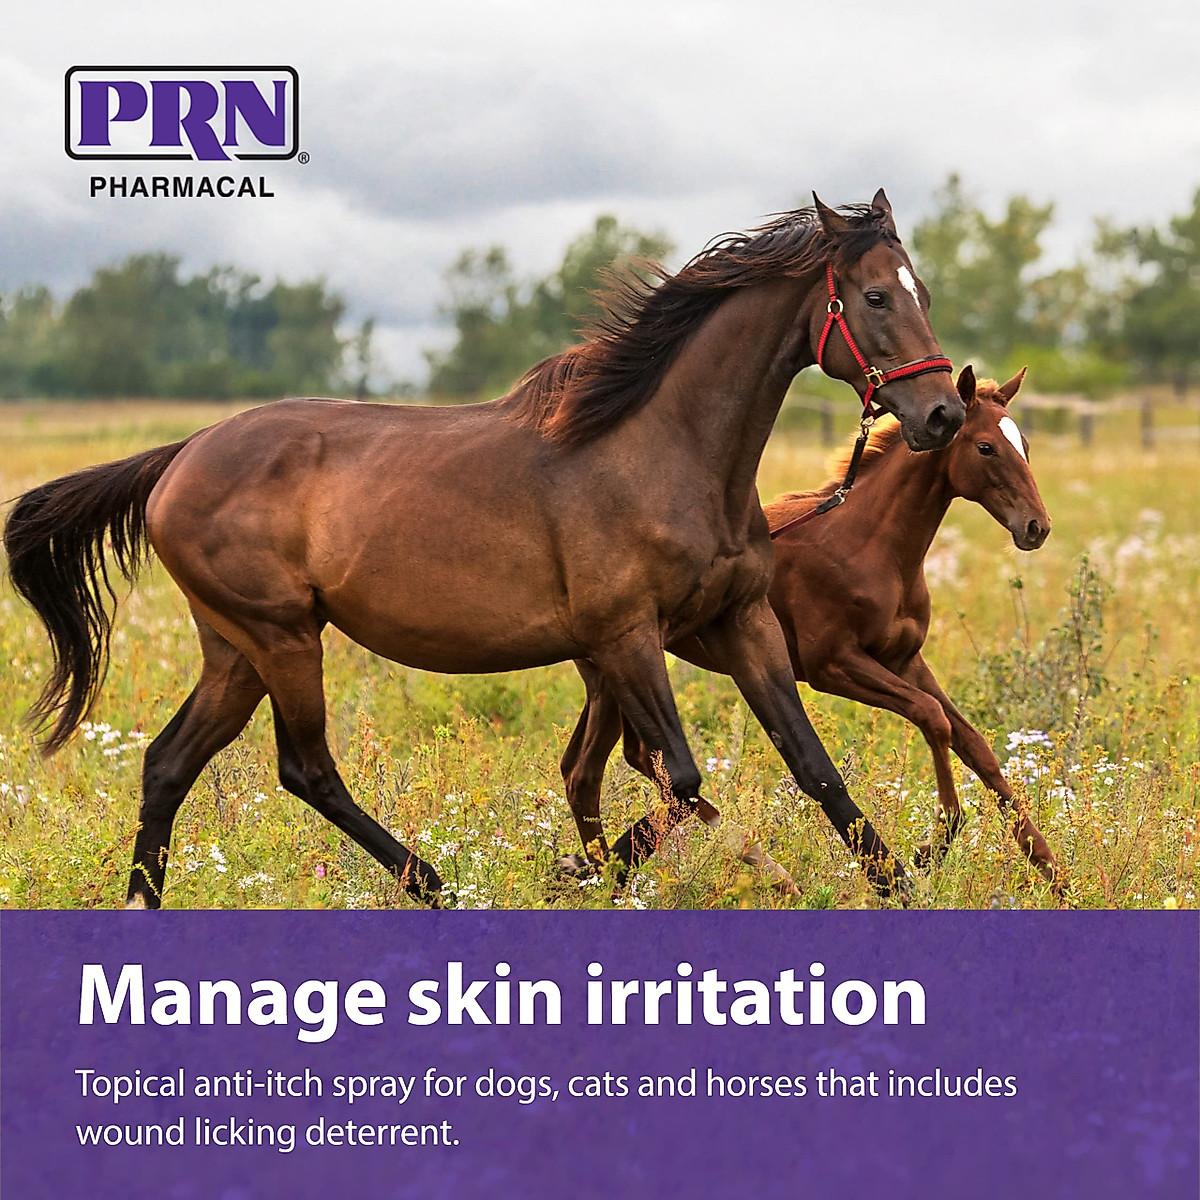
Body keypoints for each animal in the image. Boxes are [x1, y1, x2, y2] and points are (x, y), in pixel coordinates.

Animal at [4, 190, 965, 909]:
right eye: (875, 298)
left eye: (922, 292)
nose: (943, 415)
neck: (667, 453)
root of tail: (179, 457)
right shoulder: (625, 636)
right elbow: (683, 779)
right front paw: (580, 872)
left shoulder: (744, 622)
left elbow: (813, 766)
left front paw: (902, 884)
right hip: (283, 638)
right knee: (306, 767)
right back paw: (436, 885)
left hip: (234, 649)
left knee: (168, 765)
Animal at [560, 365, 1060, 891]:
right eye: (985, 447)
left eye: (1024, 443)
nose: (1036, 527)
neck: (868, 546)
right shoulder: (833, 666)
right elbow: (932, 717)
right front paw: (935, 843)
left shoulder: (904, 659)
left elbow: (975, 744)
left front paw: (1053, 873)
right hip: (618, 669)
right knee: (605, 767)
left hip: (612, 677)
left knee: (592, 769)